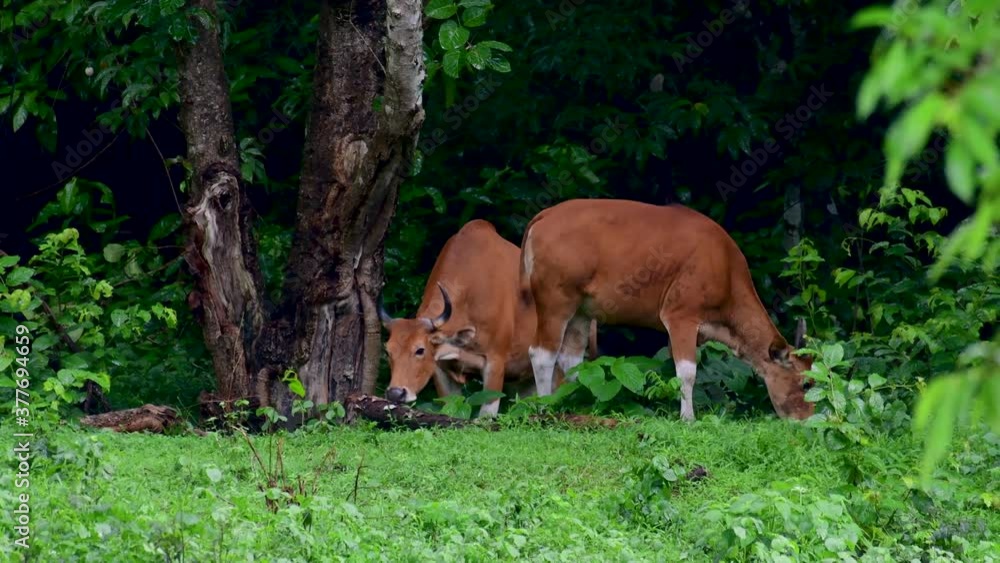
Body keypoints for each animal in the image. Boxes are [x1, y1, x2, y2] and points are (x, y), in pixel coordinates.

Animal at [520, 199, 814, 421]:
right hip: (555, 300)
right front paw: (688, 418)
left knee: (571, 359)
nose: (809, 420)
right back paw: (543, 406)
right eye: (806, 383)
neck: (725, 269)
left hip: (581, 310)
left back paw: (573, 403)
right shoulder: (680, 315)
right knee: (542, 354)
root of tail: (545, 215)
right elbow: (687, 372)